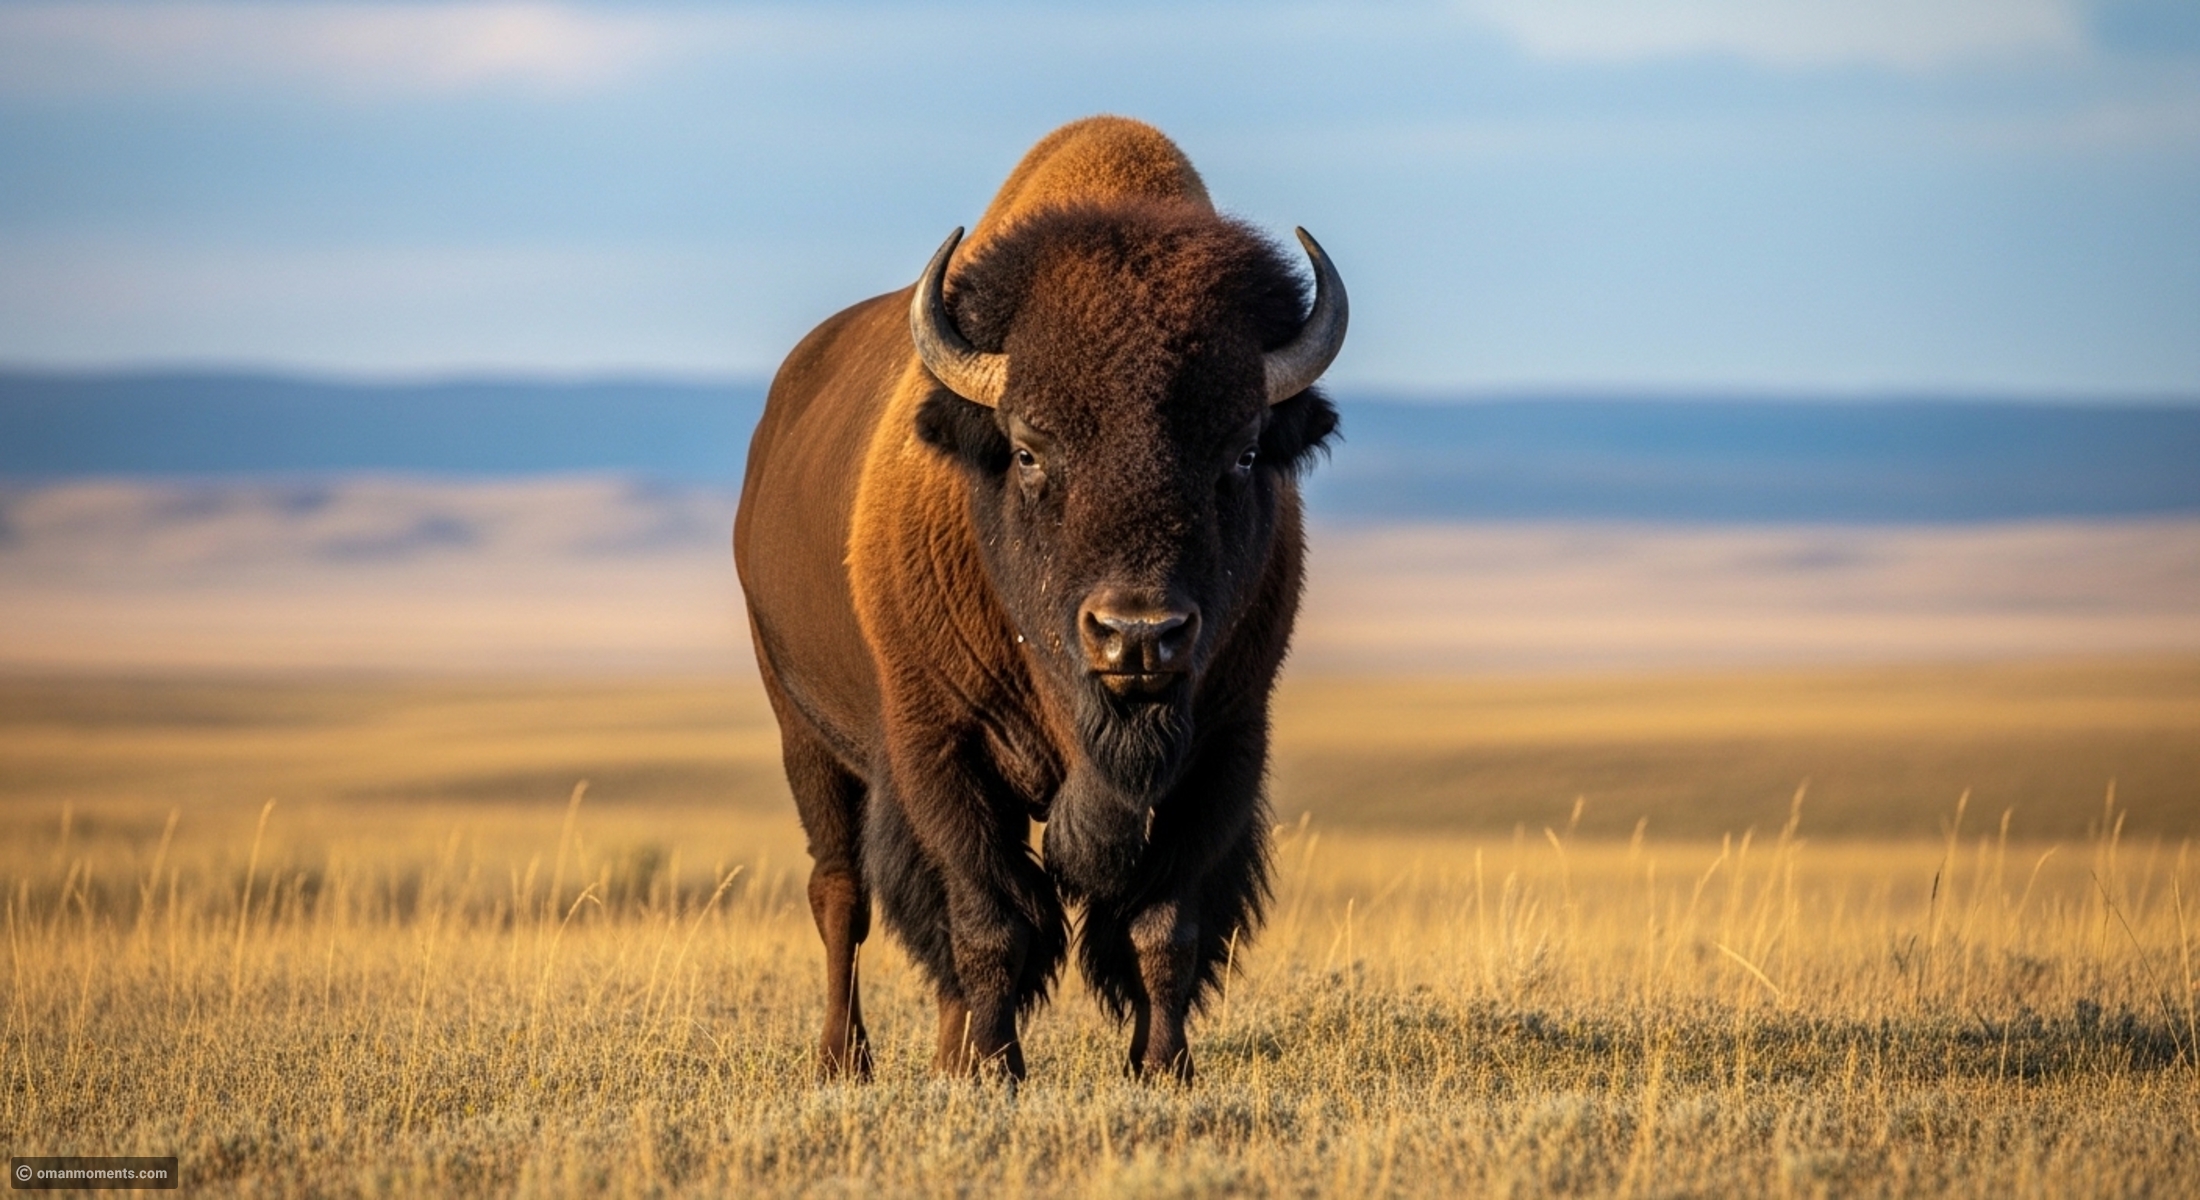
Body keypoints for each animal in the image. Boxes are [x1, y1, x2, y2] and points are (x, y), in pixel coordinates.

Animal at [733, 115, 1346, 1081]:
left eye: (1244, 452)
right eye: (1028, 449)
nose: (1138, 635)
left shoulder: (1224, 748)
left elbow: (1162, 929)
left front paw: (1160, 1069)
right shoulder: (940, 751)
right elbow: (990, 926)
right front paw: (996, 1071)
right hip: (807, 736)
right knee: (842, 894)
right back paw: (845, 1059)